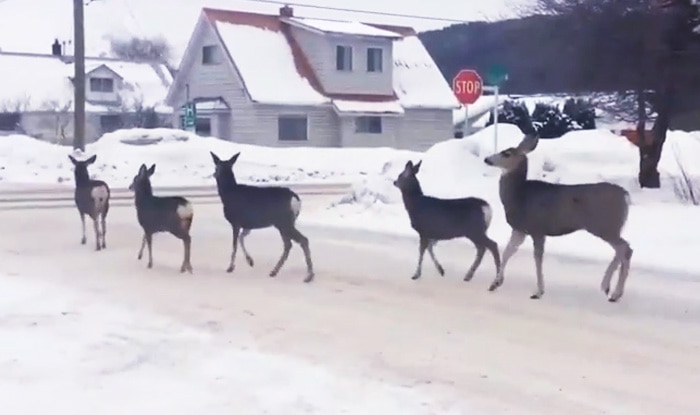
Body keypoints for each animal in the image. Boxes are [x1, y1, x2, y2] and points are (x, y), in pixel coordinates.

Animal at [210, 151, 314, 283]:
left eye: (216, 167)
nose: (214, 174)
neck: (228, 194)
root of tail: (296, 199)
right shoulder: (247, 225)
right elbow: (241, 239)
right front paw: (250, 261)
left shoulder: (235, 221)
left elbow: (234, 244)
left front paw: (230, 267)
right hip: (285, 223)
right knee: (288, 244)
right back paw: (274, 271)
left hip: (284, 222)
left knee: (302, 240)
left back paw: (309, 276)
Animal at [483, 133, 633, 302]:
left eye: (507, 153)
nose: (487, 159)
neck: (519, 195)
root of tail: (626, 195)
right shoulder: (520, 229)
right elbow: (508, 252)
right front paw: (495, 283)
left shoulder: (537, 229)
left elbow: (537, 259)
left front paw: (538, 291)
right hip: (610, 227)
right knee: (624, 250)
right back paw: (612, 291)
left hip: (605, 225)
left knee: (625, 248)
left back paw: (610, 290)